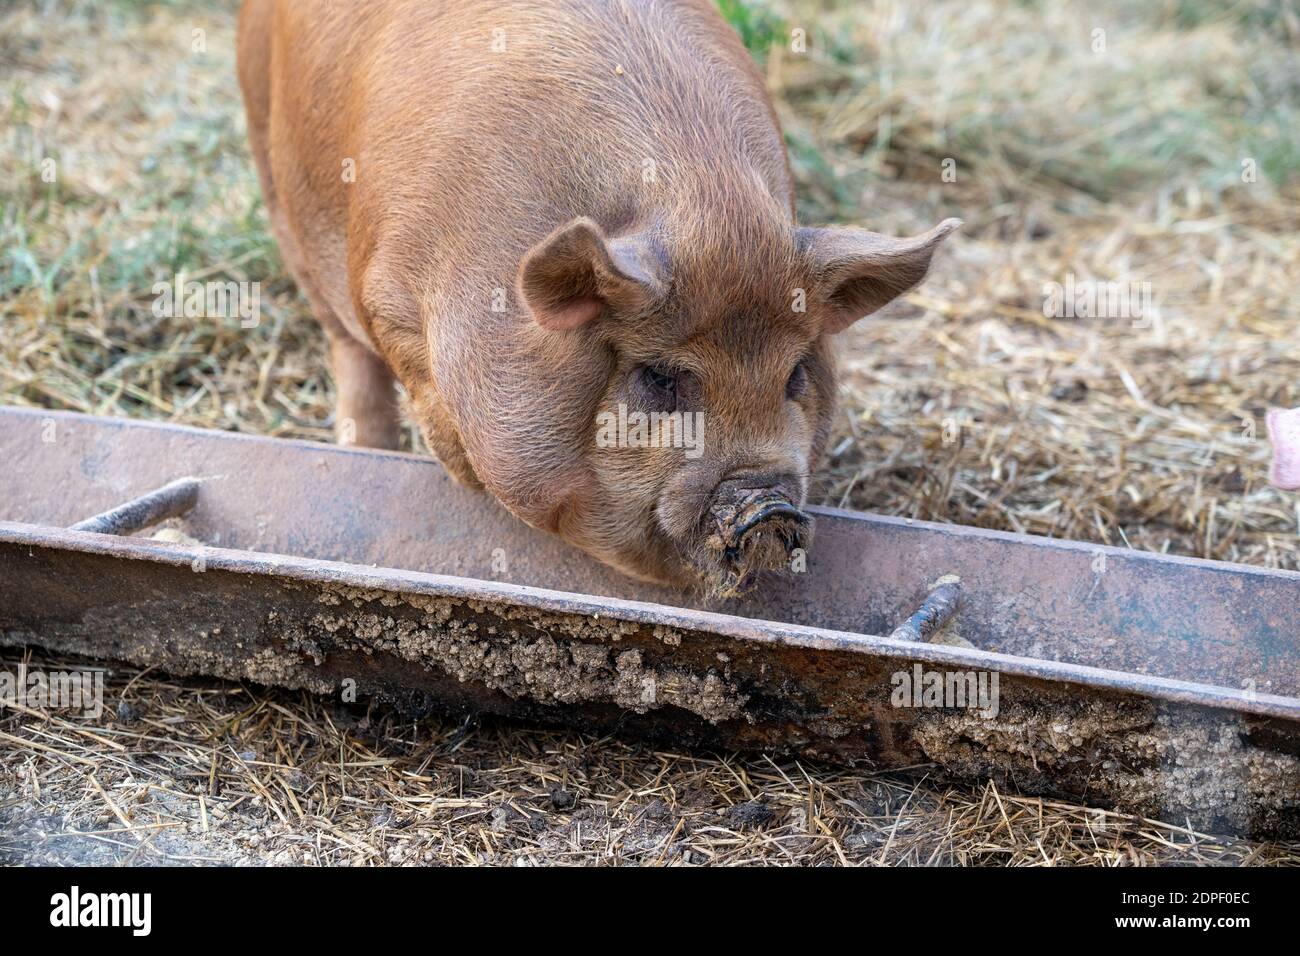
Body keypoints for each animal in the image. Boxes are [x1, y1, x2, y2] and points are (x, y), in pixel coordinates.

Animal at [237, 0, 958, 593]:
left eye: (796, 375)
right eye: (661, 378)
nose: (768, 501)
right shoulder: (387, 294)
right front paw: (461, 478)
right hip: (273, 169)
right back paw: (368, 450)